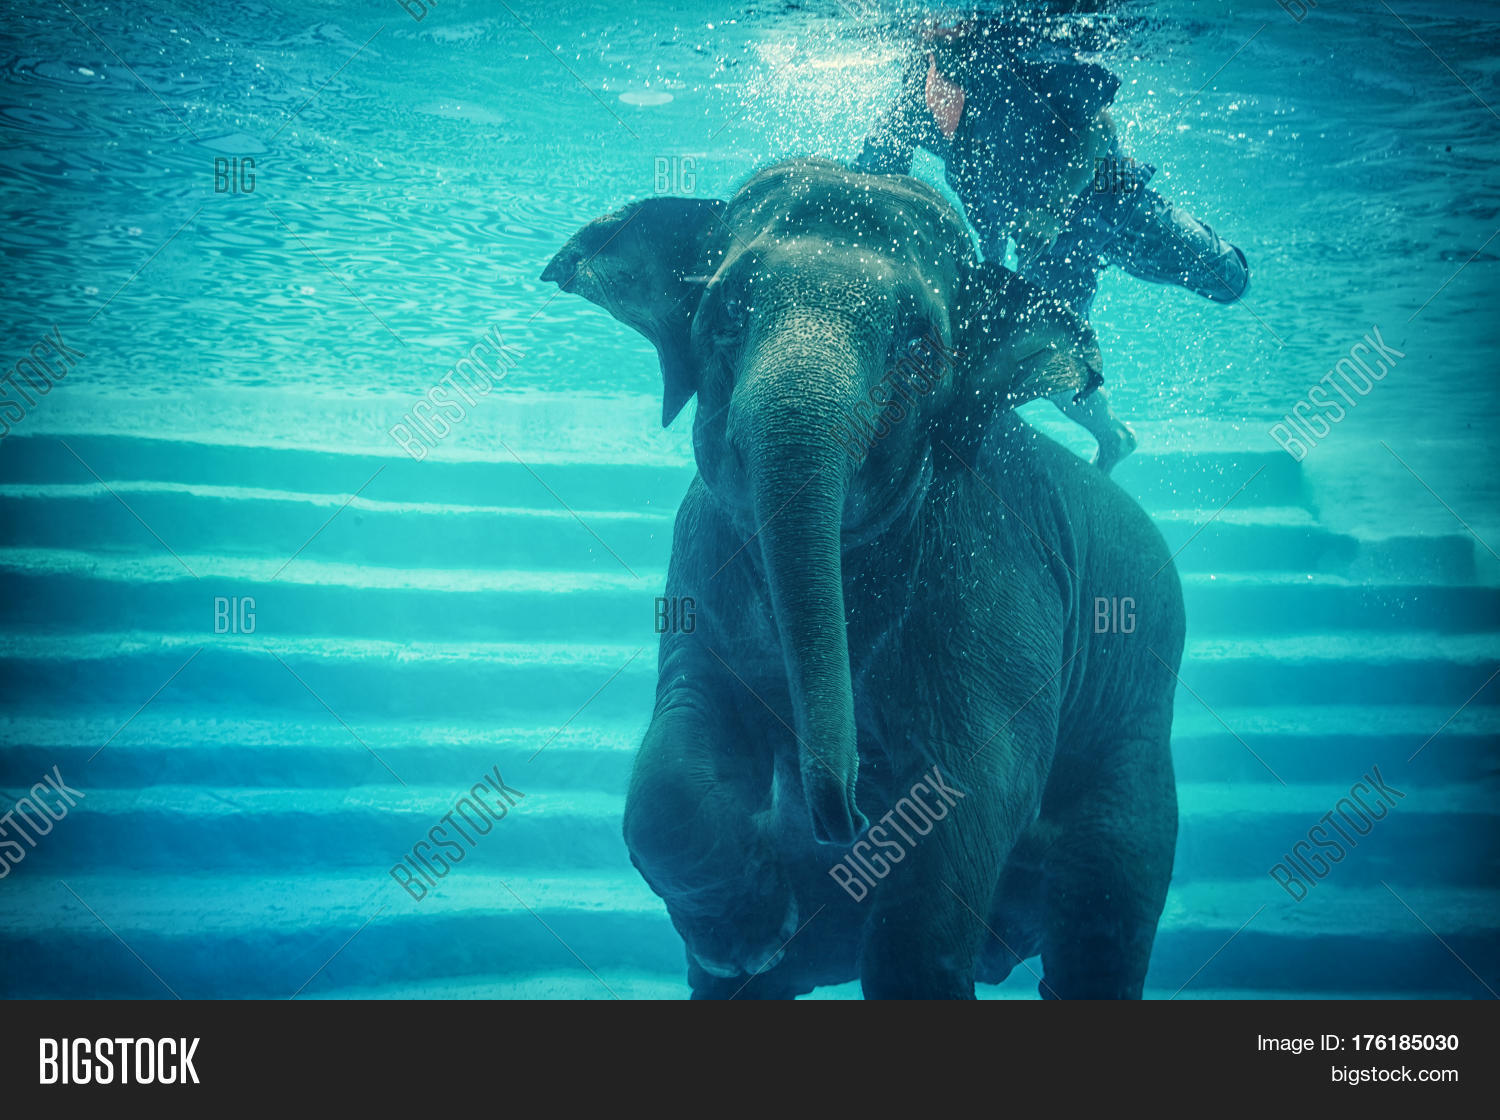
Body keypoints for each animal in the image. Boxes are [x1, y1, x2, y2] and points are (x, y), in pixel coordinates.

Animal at [541, 159, 1184, 999]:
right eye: (726, 315)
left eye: (917, 340)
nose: (841, 816)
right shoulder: (700, 578)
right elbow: (673, 761)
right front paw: (747, 938)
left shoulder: (993, 588)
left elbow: (975, 784)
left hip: (1134, 746)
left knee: (1105, 916)